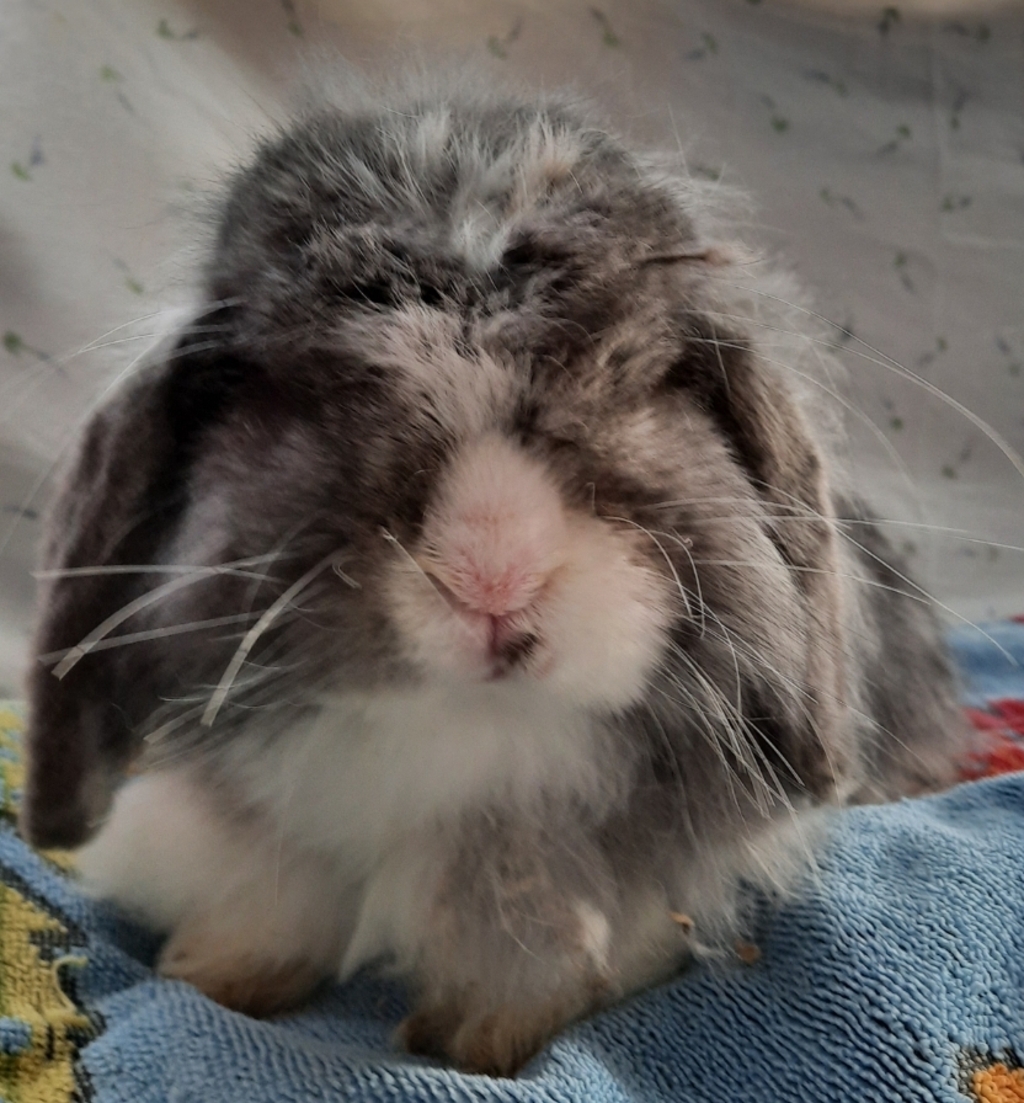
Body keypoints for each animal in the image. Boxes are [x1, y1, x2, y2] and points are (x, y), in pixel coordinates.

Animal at [18, 73, 967, 1076]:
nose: (493, 579)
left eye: (647, 378)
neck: (467, 747)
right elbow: (273, 897)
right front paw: (211, 973)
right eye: (292, 393)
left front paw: (485, 1033)